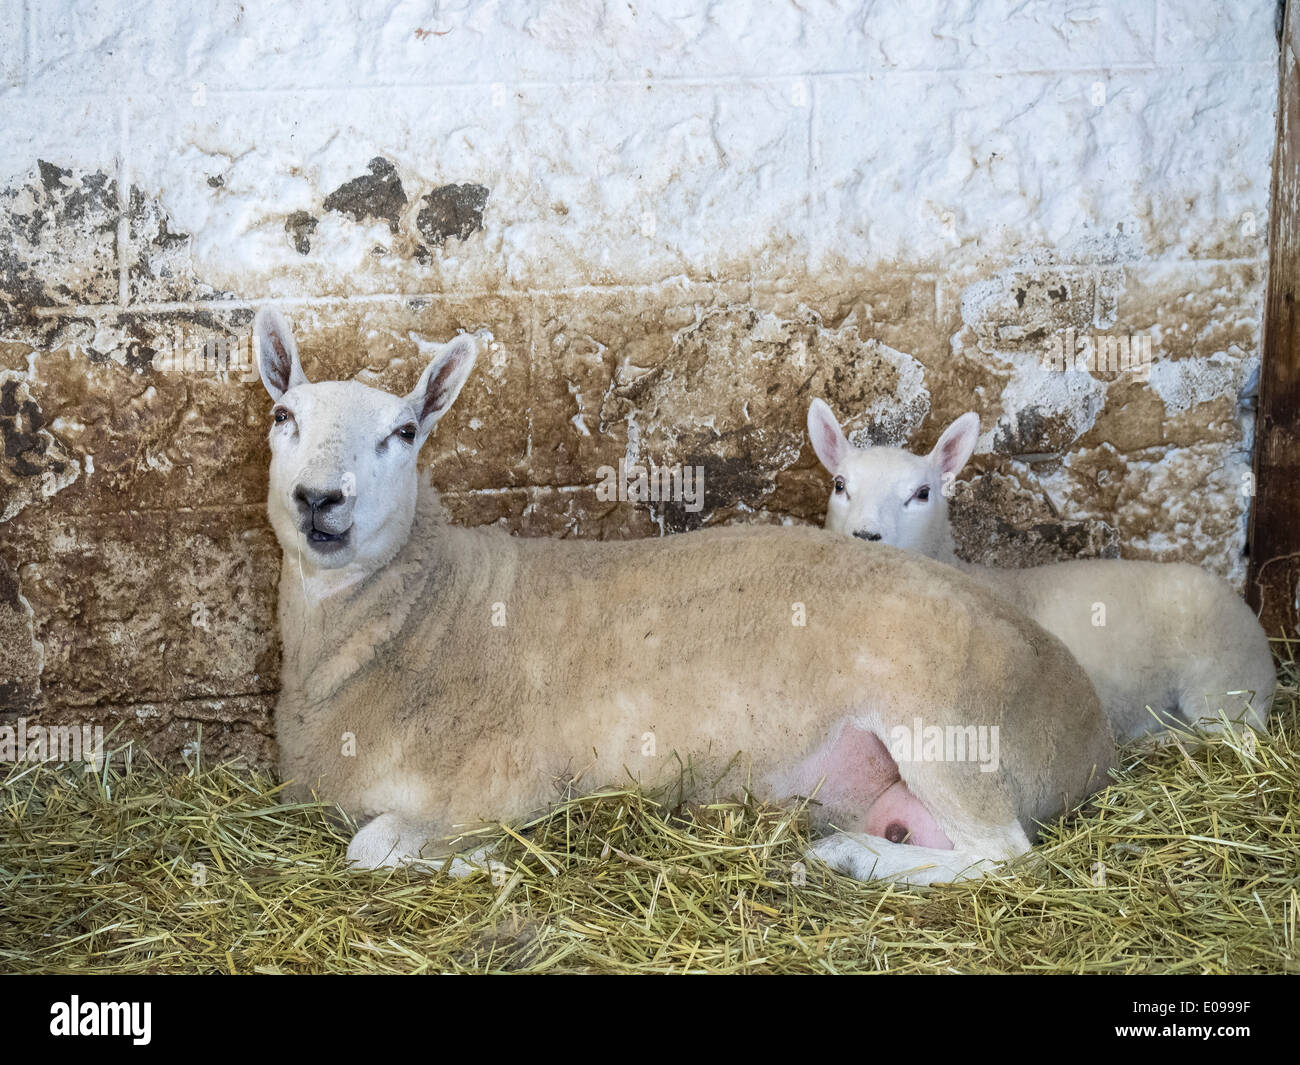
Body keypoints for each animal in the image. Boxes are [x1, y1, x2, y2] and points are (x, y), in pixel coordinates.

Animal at [253, 307, 1115, 886]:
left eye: (404, 433)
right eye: (283, 414)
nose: (320, 498)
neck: (424, 616)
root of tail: (1090, 727)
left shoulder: (508, 783)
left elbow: (369, 847)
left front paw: (484, 862)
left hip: (948, 725)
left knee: (1004, 857)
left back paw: (840, 854)